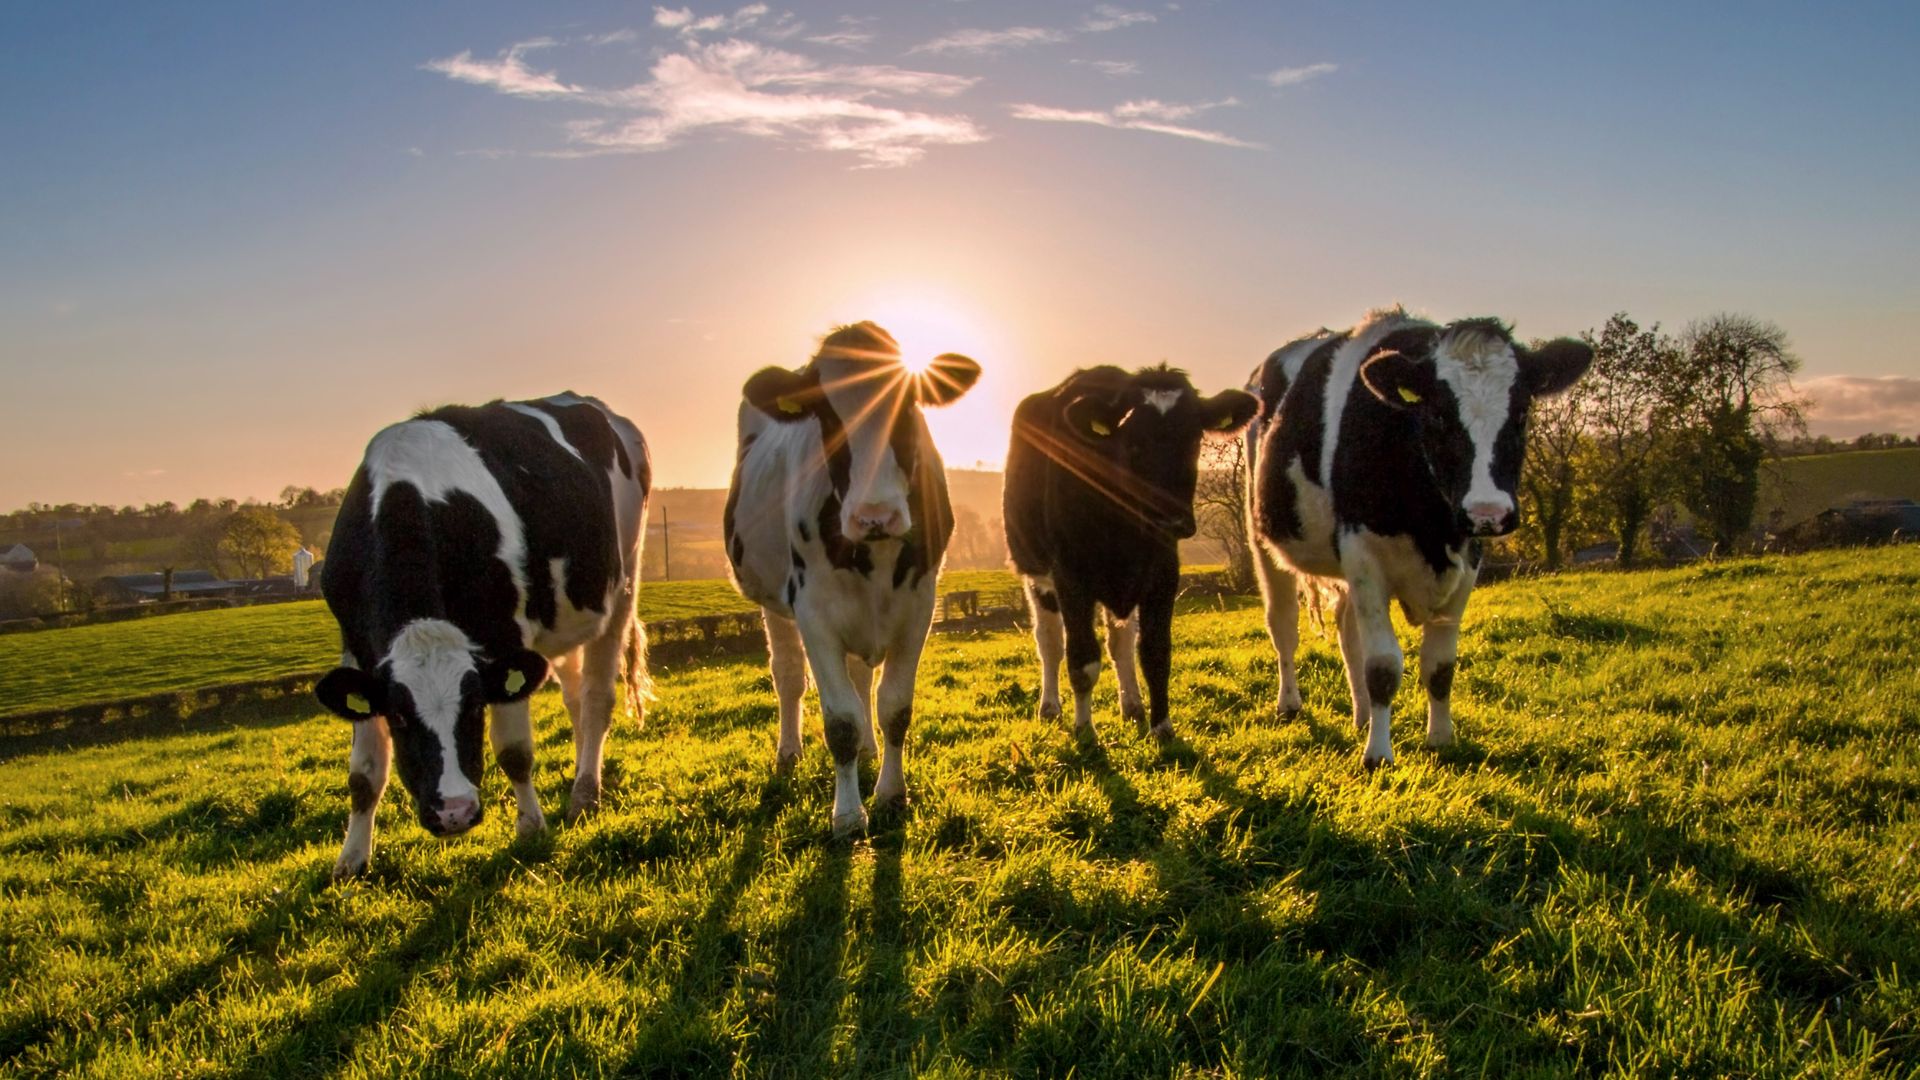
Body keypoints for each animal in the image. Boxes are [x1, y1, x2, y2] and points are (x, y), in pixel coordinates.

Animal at [315, 392, 650, 879]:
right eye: (398, 717)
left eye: (474, 707)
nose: (453, 812)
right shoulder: (358, 650)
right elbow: (364, 772)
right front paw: (351, 860)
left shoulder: (505, 636)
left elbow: (514, 751)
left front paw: (530, 828)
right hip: (563, 617)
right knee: (573, 695)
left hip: (623, 579)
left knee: (596, 697)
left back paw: (585, 792)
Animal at [723, 322, 979, 836]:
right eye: (825, 414)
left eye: (910, 404)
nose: (874, 516)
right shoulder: (813, 612)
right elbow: (840, 720)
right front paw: (846, 814)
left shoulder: (918, 607)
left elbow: (894, 707)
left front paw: (891, 794)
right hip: (773, 601)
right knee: (788, 676)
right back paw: (788, 752)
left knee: (862, 677)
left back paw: (868, 751)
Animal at [1004, 365, 1258, 744]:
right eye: (1134, 442)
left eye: (1193, 440)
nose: (1171, 519)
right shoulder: (1071, 578)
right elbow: (1082, 659)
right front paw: (1085, 731)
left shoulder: (1162, 575)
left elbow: (1155, 653)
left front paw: (1162, 727)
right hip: (1035, 574)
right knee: (1049, 642)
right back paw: (1050, 707)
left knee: (1120, 643)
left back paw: (1132, 705)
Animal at [1245, 308, 1591, 766]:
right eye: (1438, 416)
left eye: (1520, 413)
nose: (1487, 512)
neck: (1431, 526)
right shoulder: (1364, 552)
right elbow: (1383, 666)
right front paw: (1378, 754)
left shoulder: (1467, 560)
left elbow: (1440, 666)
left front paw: (1440, 738)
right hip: (1263, 541)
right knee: (1283, 624)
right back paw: (1290, 703)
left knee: (1347, 631)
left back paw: (1361, 716)